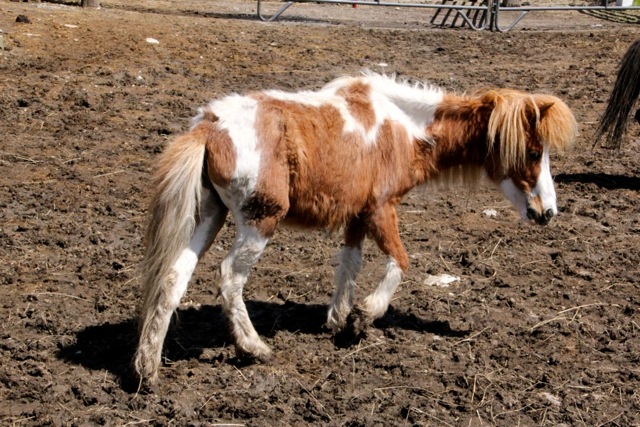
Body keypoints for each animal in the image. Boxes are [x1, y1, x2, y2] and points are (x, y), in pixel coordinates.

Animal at [133, 72, 577, 386]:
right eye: (533, 152)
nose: (548, 212)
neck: (402, 128)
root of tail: (209, 126)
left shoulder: (358, 215)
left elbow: (350, 263)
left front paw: (338, 318)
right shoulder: (381, 209)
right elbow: (400, 262)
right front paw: (365, 315)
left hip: (210, 216)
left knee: (173, 277)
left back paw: (147, 367)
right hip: (259, 220)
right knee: (229, 278)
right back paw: (254, 347)